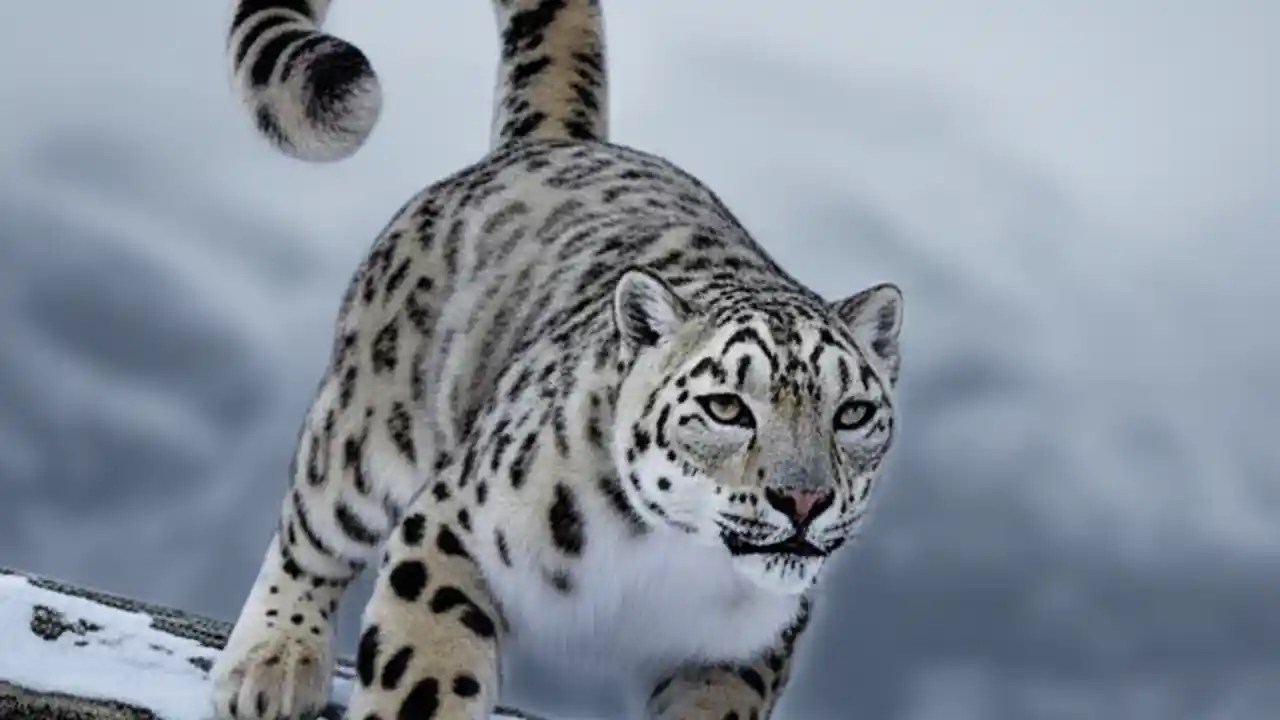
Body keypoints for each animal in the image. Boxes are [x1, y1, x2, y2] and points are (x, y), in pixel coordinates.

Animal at [210, 1, 905, 719]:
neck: (668, 567)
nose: (805, 500)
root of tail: (554, 142)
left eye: (853, 414)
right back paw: (272, 665)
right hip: (367, 428)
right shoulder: (451, 530)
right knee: (312, 530)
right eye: (726, 407)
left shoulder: (742, 648)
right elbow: (424, 673)